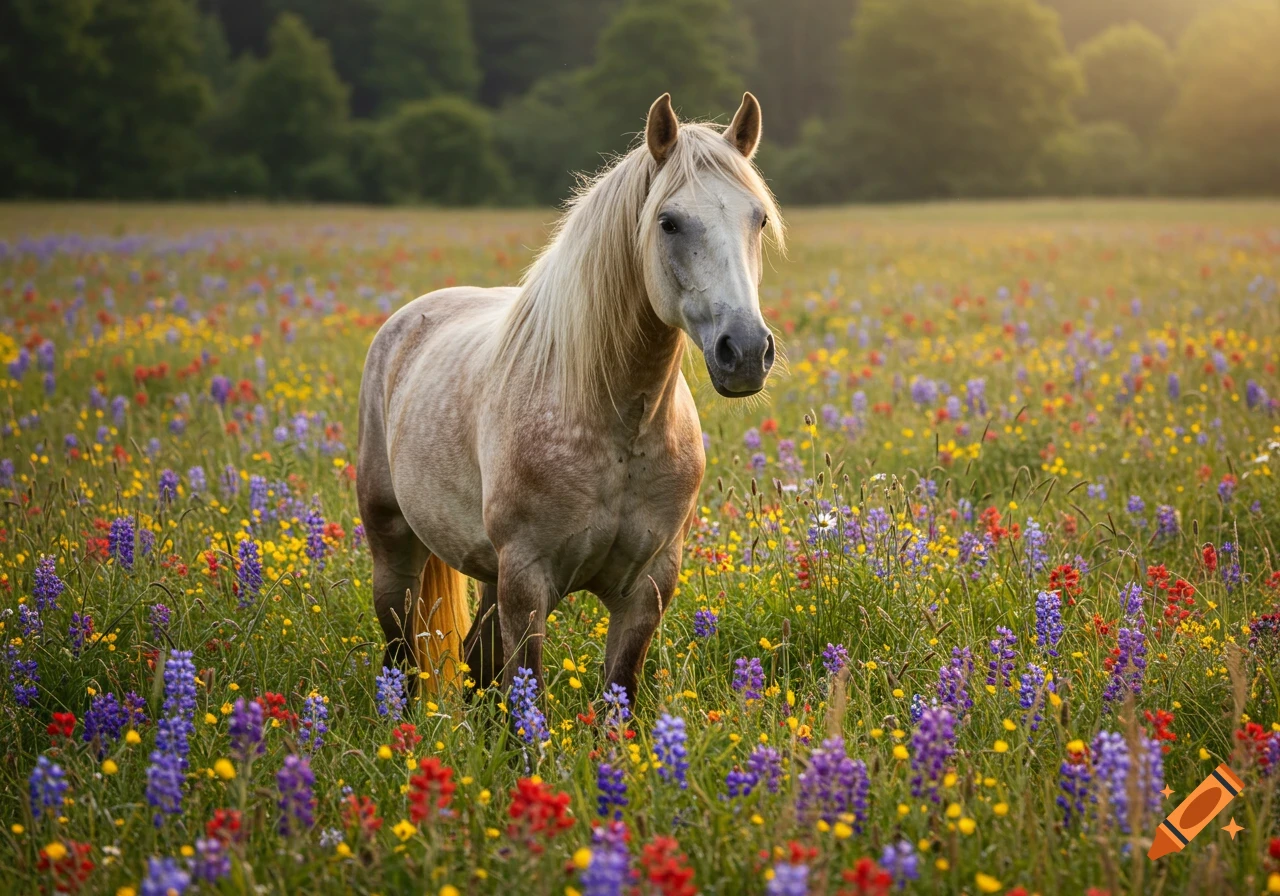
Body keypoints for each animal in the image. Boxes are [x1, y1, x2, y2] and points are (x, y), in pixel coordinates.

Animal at [356, 92, 784, 705]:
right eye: (669, 222)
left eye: (759, 218)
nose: (745, 351)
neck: (620, 429)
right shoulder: (526, 581)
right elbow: (525, 698)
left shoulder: (648, 586)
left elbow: (617, 695)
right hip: (394, 549)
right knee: (401, 657)